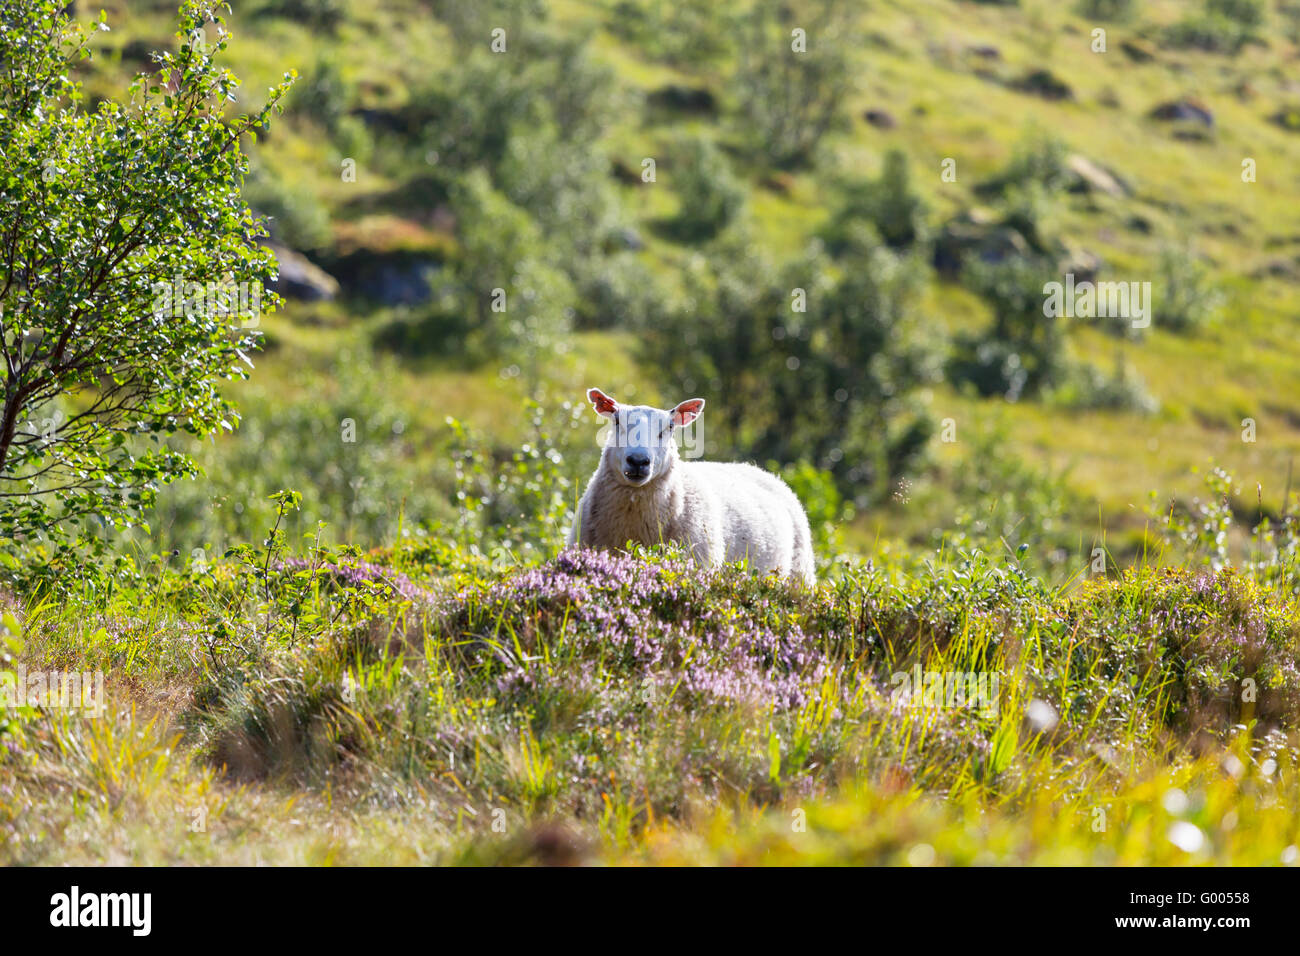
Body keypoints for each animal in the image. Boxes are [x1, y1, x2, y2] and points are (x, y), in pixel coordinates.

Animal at [566, 387, 816, 585]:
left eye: (669, 428)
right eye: (617, 421)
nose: (638, 461)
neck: (633, 525)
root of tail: (762, 471)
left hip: (801, 574)